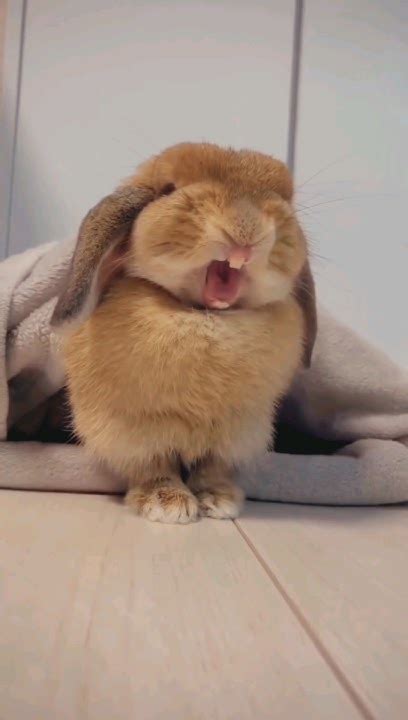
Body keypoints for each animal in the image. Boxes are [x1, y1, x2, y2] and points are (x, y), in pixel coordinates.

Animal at [52, 142, 316, 524]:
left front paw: (219, 501)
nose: (246, 227)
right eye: (169, 189)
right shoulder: (131, 431)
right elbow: (154, 466)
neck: (207, 318)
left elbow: (212, 468)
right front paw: (167, 503)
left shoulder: (235, 434)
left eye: (285, 199)